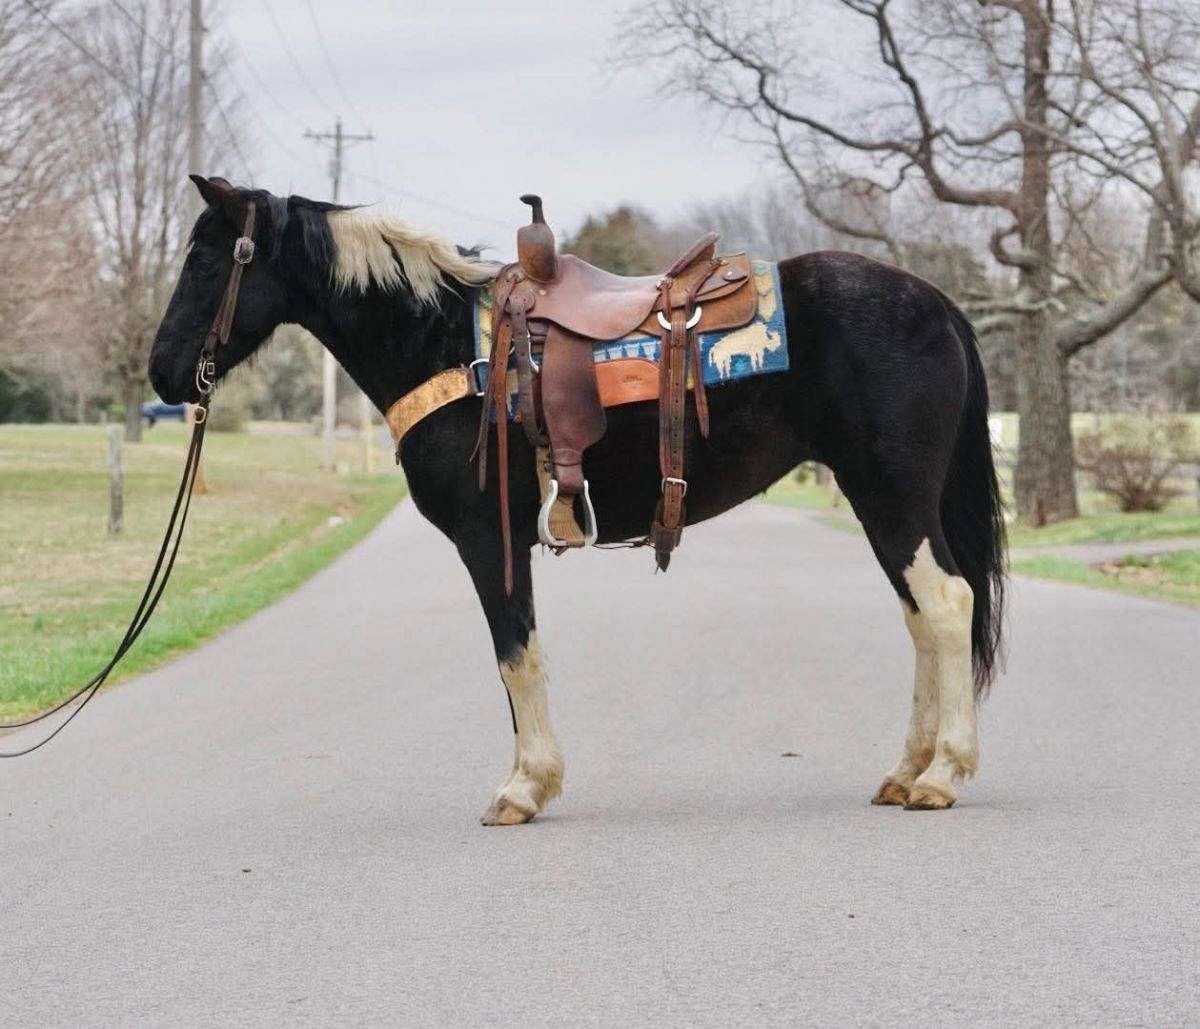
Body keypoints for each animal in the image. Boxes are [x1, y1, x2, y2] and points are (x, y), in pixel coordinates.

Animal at [150, 175, 1005, 826]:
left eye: (210, 260)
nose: (162, 372)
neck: (442, 343)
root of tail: (938, 304)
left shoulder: (488, 541)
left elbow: (516, 656)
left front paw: (524, 786)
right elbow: (517, 661)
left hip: (893, 498)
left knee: (947, 604)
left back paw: (941, 774)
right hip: (882, 502)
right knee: (922, 618)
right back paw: (908, 768)